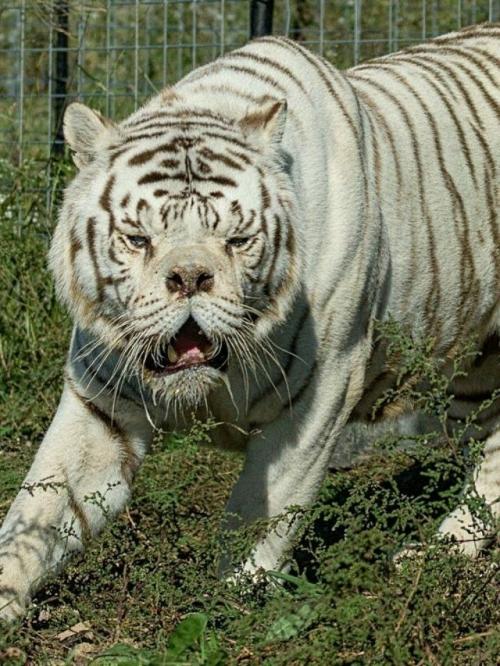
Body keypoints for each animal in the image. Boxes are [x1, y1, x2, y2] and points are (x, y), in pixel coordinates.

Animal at [0, 23, 499, 620]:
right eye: (138, 239)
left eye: (237, 240)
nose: (190, 275)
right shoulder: (101, 403)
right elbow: (39, 508)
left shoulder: (319, 393)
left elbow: (260, 517)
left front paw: (229, 608)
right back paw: (446, 550)